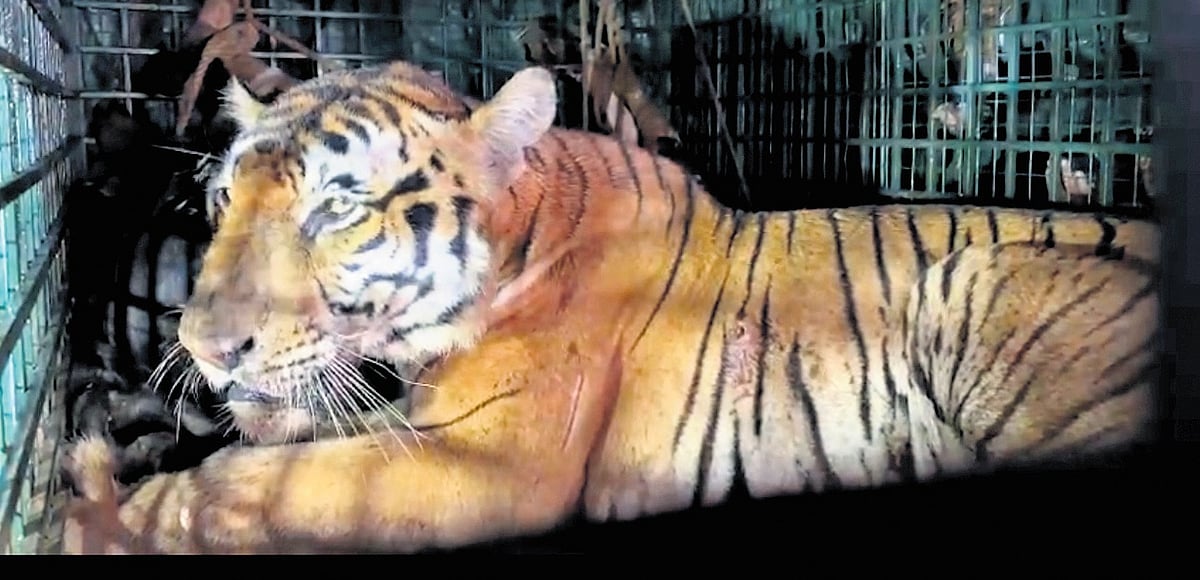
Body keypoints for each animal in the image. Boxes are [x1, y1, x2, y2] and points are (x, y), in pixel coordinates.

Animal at [61, 60, 1163, 554]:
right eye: (221, 202)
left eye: (336, 208)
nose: (205, 348)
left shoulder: (488, 463)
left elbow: (269, 482)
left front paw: (116, 507)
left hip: (987, 288)